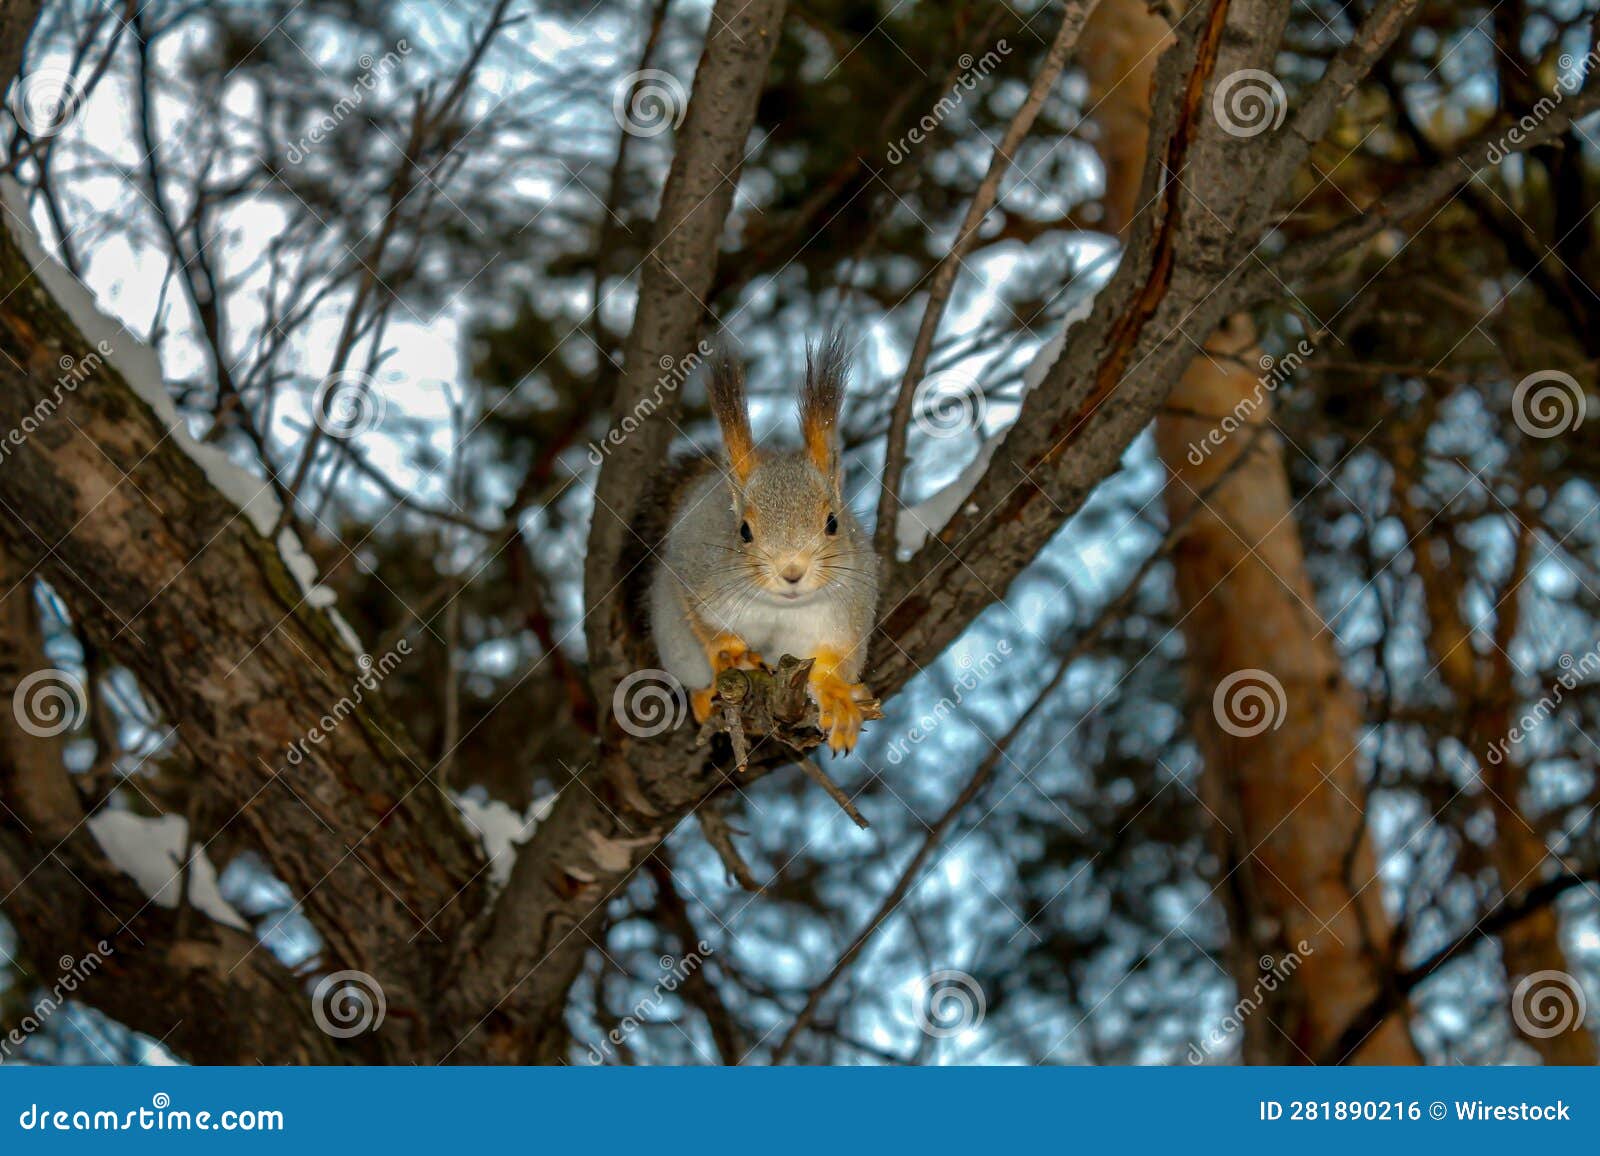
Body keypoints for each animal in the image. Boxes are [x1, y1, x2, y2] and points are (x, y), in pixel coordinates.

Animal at [640, 338, 879, 754]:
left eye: (833, 522)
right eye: (744, 531)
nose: (792, 572)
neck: (782, 609)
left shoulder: (853, 603)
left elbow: (836, 658)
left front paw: (835, 694)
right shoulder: (694, 571)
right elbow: (708, 627)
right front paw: (731, 653)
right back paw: (704, 696)